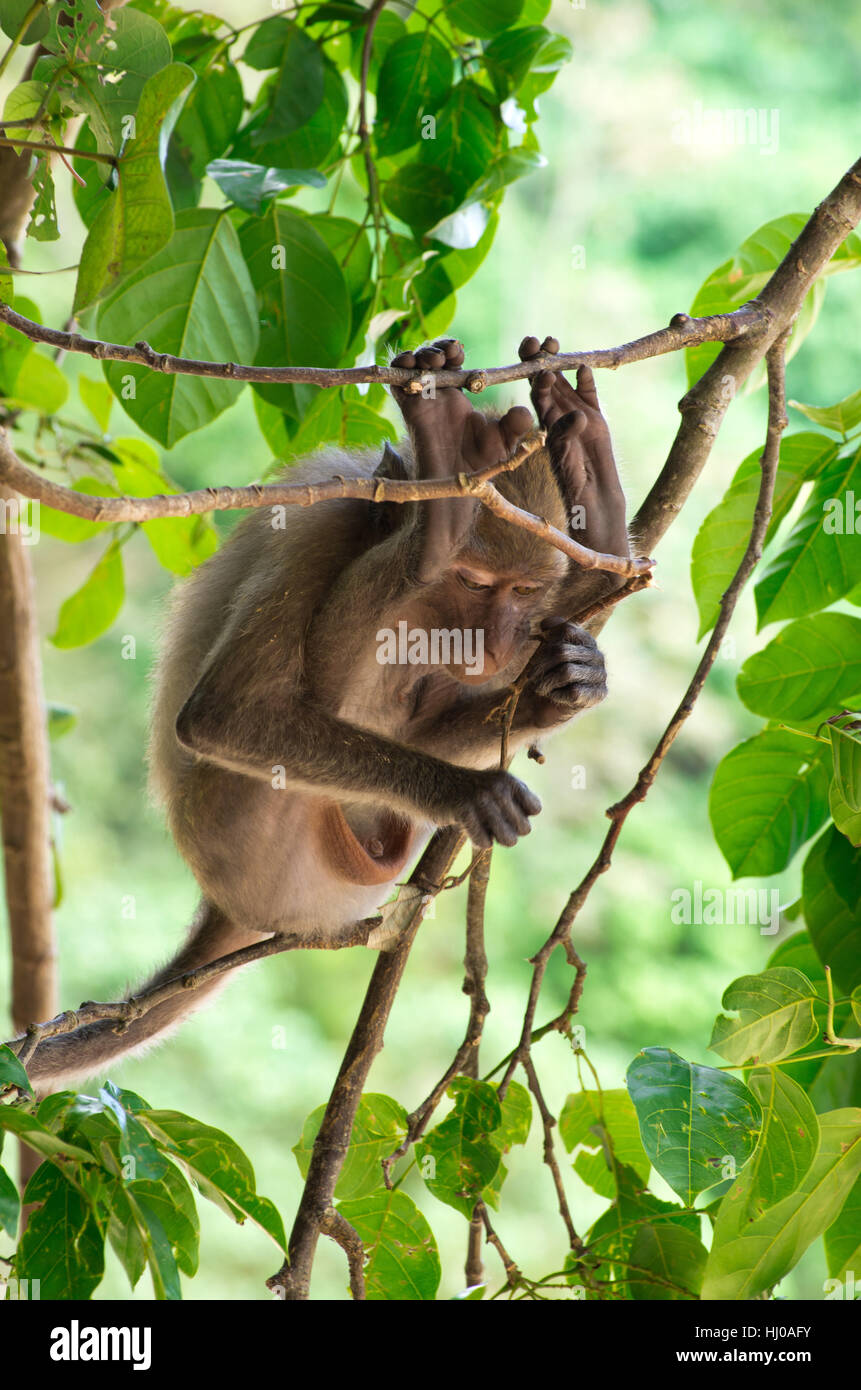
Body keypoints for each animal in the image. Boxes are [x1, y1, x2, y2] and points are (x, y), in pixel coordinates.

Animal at [20, 336, 630, 1086]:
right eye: (471, 583)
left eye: (521, 591)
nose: (494, 642)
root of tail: (227, 906)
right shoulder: (316, 528)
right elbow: (223, 716)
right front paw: (460, 790)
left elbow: (439, 722)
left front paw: (565, 685)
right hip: (284, 854)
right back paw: (433, 530)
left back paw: (586, 486)